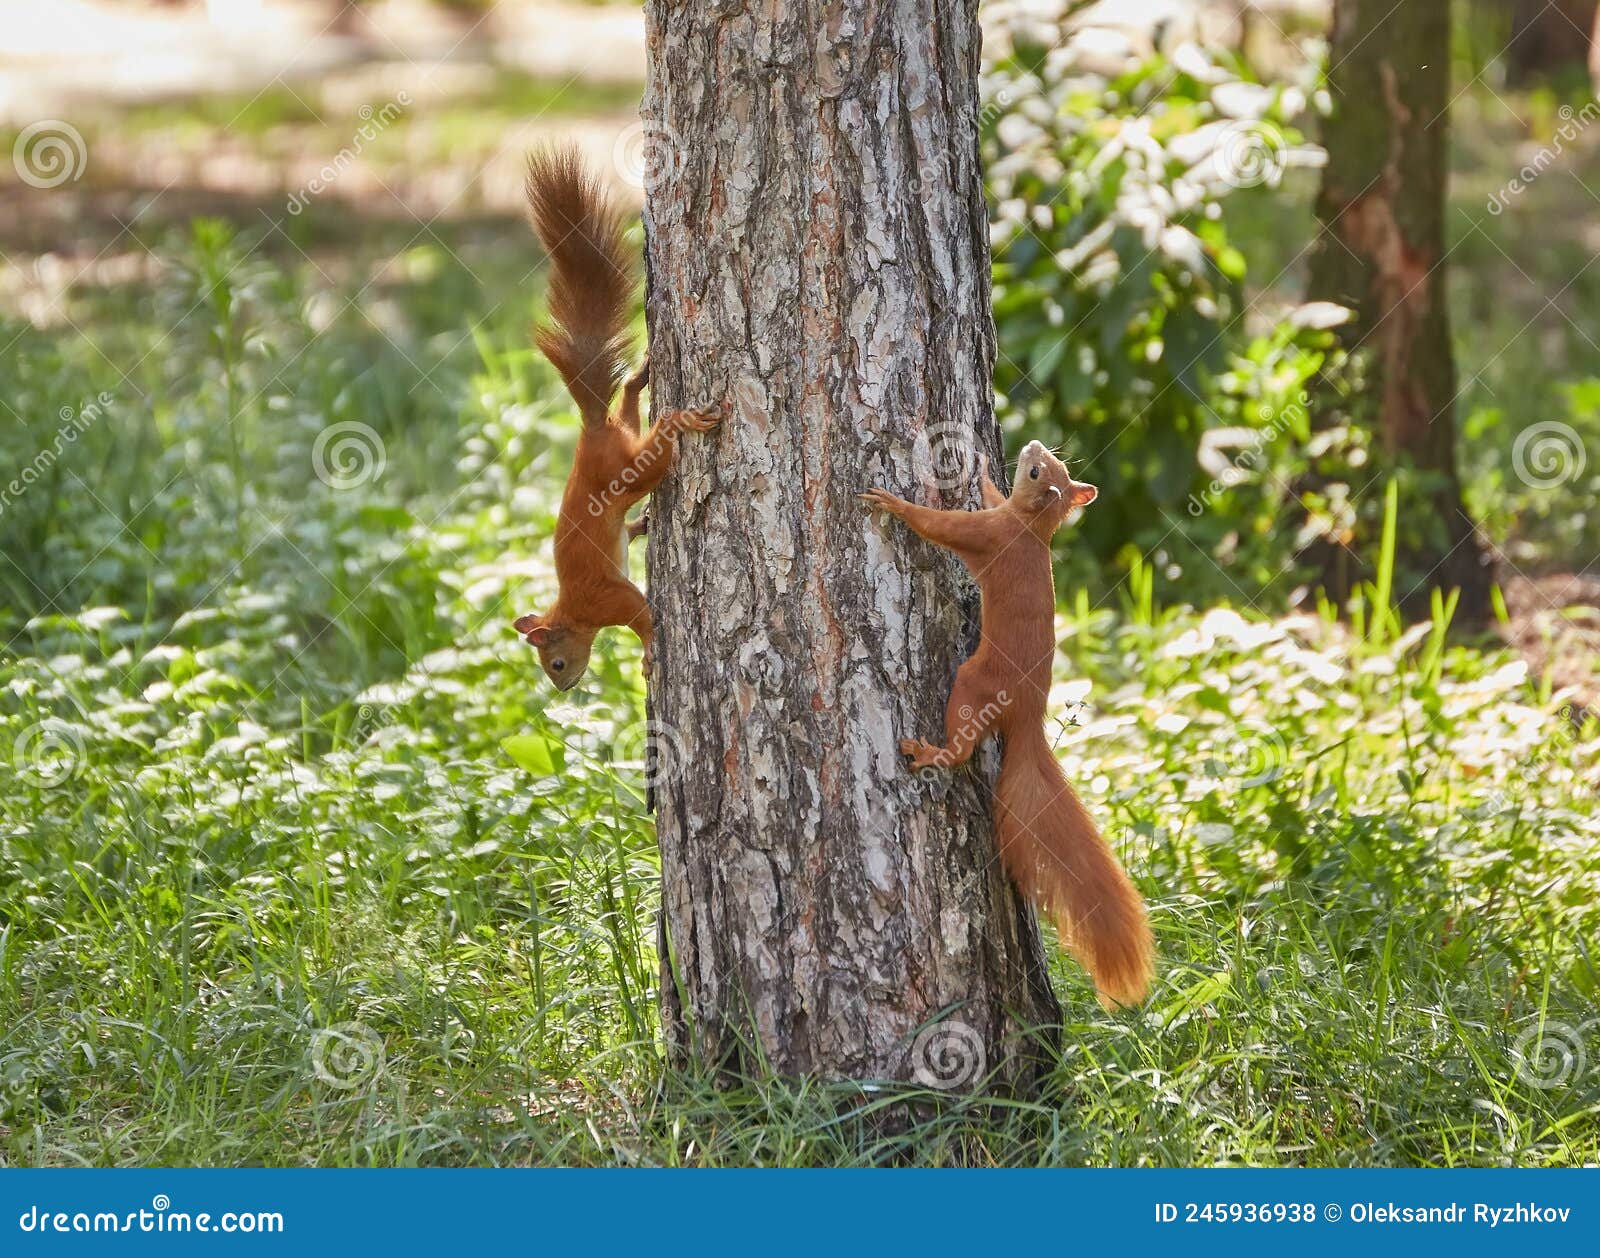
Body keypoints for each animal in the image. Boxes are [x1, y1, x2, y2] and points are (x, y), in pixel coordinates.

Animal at [512, 147, 723, 689]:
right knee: (627, 399)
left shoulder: (606, 599)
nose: (563, 688)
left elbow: (640, 614)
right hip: (625, 438)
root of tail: (592, 432)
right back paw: (643, 374)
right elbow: (626, 539)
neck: (571, 611)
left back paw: (680, 421)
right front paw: (643, 525)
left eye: (555, 663)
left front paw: (649, 652)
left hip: (626, 470)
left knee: (660, 439)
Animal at [861, 439, 1154, 1007]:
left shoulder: (988, 534)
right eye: (1050, 463)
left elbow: (943, 526)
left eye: (1038, 471)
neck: (1033, 528)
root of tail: (1028, 717)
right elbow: (989, 495)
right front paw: (980, 471)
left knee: (962, 750)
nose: (1033, 445)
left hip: (972, 685)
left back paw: (927, 753)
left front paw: (894, 504)